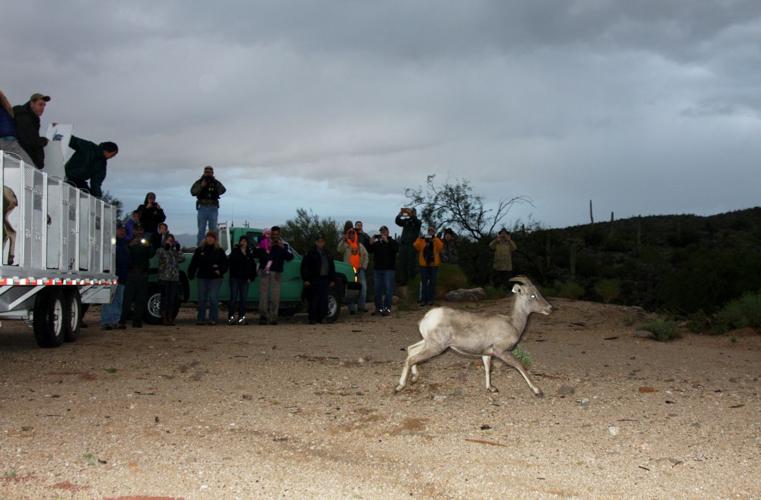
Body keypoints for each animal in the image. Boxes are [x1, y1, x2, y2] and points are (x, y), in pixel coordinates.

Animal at [395, 276, 553, 396]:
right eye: (532, 295)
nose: (549, 308)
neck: (512, 322)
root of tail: (427, 318)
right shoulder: (501, 351)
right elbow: (519, 366)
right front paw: (537, 391)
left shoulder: (487, 354)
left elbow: (488, 368)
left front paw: (491, 389)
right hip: (435, 347)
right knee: (412, 358)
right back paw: (399, 387)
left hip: (428, 342)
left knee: (411, 350)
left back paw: (414, 379)